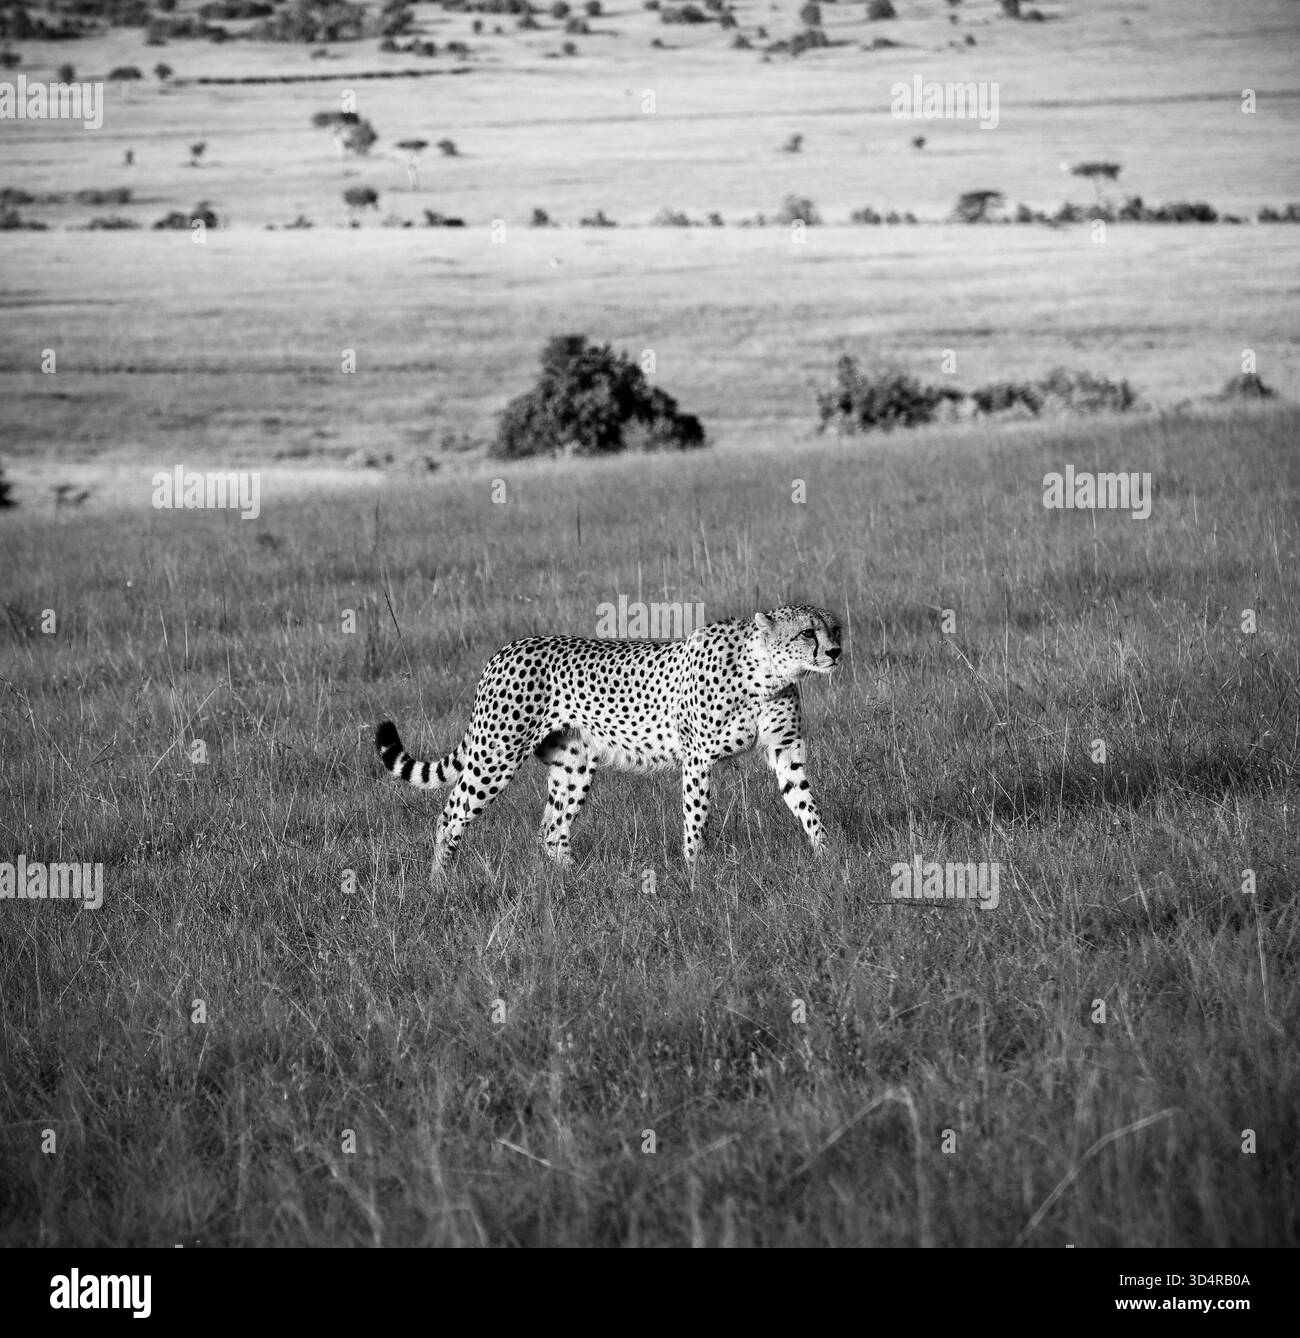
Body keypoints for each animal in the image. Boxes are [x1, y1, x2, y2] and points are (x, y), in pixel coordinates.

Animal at [374, 604, 842, 876]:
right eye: (807, 633)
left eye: (835, 628)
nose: (836, 652)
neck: (766, 674)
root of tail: (506, 649)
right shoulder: (697, 758)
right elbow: (696, 818)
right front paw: (696, 872)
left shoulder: (786, 750)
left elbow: (805, 803)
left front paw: (828, 856)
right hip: (496, 754)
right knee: (450, 815)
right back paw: (440, 884)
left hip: (574, 763)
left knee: (551, 828)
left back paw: (575, 882)